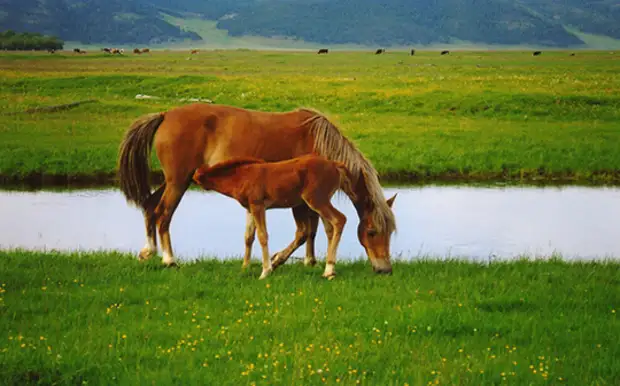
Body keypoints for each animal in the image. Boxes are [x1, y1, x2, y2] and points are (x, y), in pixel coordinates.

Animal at [117, 102, 398, 272]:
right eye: (371, 231)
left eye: (390, 232)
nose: (384, 269)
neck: (318, 141)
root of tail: (165, 115)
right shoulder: (301, 199)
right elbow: (305, 231)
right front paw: (278, 259)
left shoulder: (310, 197)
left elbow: (312, 230)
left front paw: (309, 260)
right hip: (178, 182)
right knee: (163, 214)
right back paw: (169, 259)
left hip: (173, 180)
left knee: (150, 207)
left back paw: (148, 251)